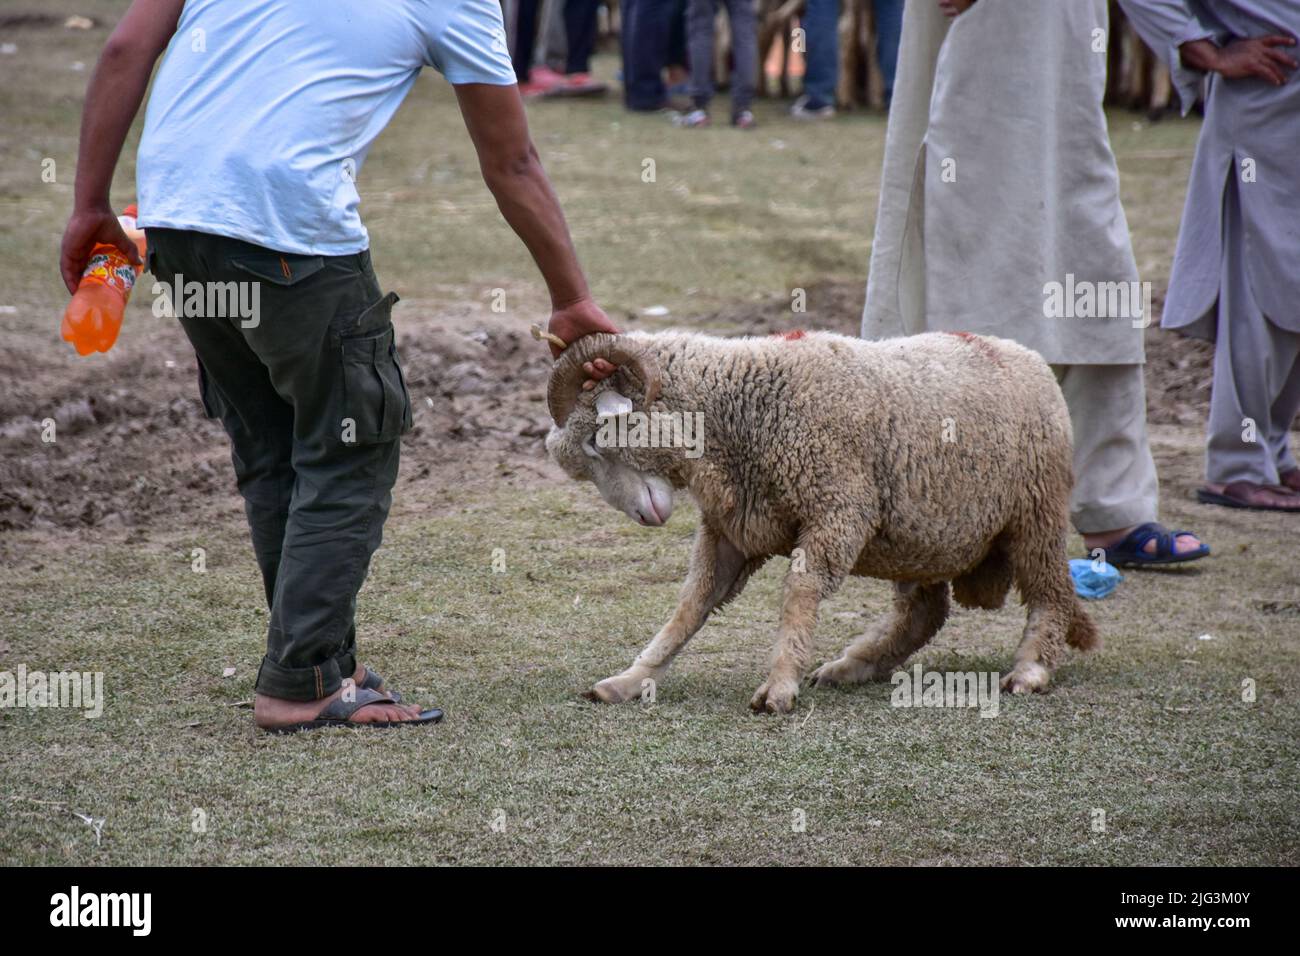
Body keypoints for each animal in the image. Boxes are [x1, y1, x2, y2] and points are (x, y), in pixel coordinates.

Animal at [544, 329, 1099, 714]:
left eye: (596, 439)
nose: (645, 516)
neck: (741, 412)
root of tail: (1024, 354)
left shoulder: (837, 512)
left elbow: (800, 593)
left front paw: (778, 686)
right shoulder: (729, 534)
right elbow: (690, 607)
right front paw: (629, 680)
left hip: (1036, 513)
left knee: (1050, 594)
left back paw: (1029, 669)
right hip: (922, 533)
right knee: (925, 611)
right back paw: (854, 665)